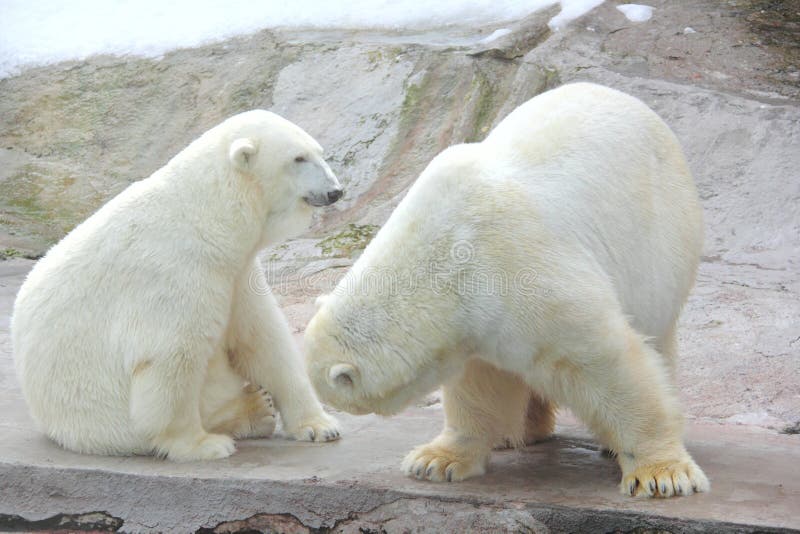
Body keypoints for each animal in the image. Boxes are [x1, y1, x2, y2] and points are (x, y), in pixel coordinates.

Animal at [12, 110, 343, 461]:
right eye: (298, 158)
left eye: (318, 152)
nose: (335, 191)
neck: (208, 218)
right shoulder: (174, 271)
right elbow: (170, 356)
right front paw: (203, 444)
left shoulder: (235, 274)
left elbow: (263, 339)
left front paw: (320, 425)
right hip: (100, 424)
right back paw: (250, 410)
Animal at [304, 83, 710, 497]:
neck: (442, 254)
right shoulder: (472, 321)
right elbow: (478, 385)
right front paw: (435, 461)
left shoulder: (518, 268)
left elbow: (606, 362)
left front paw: (662, 474)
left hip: (663, 239)